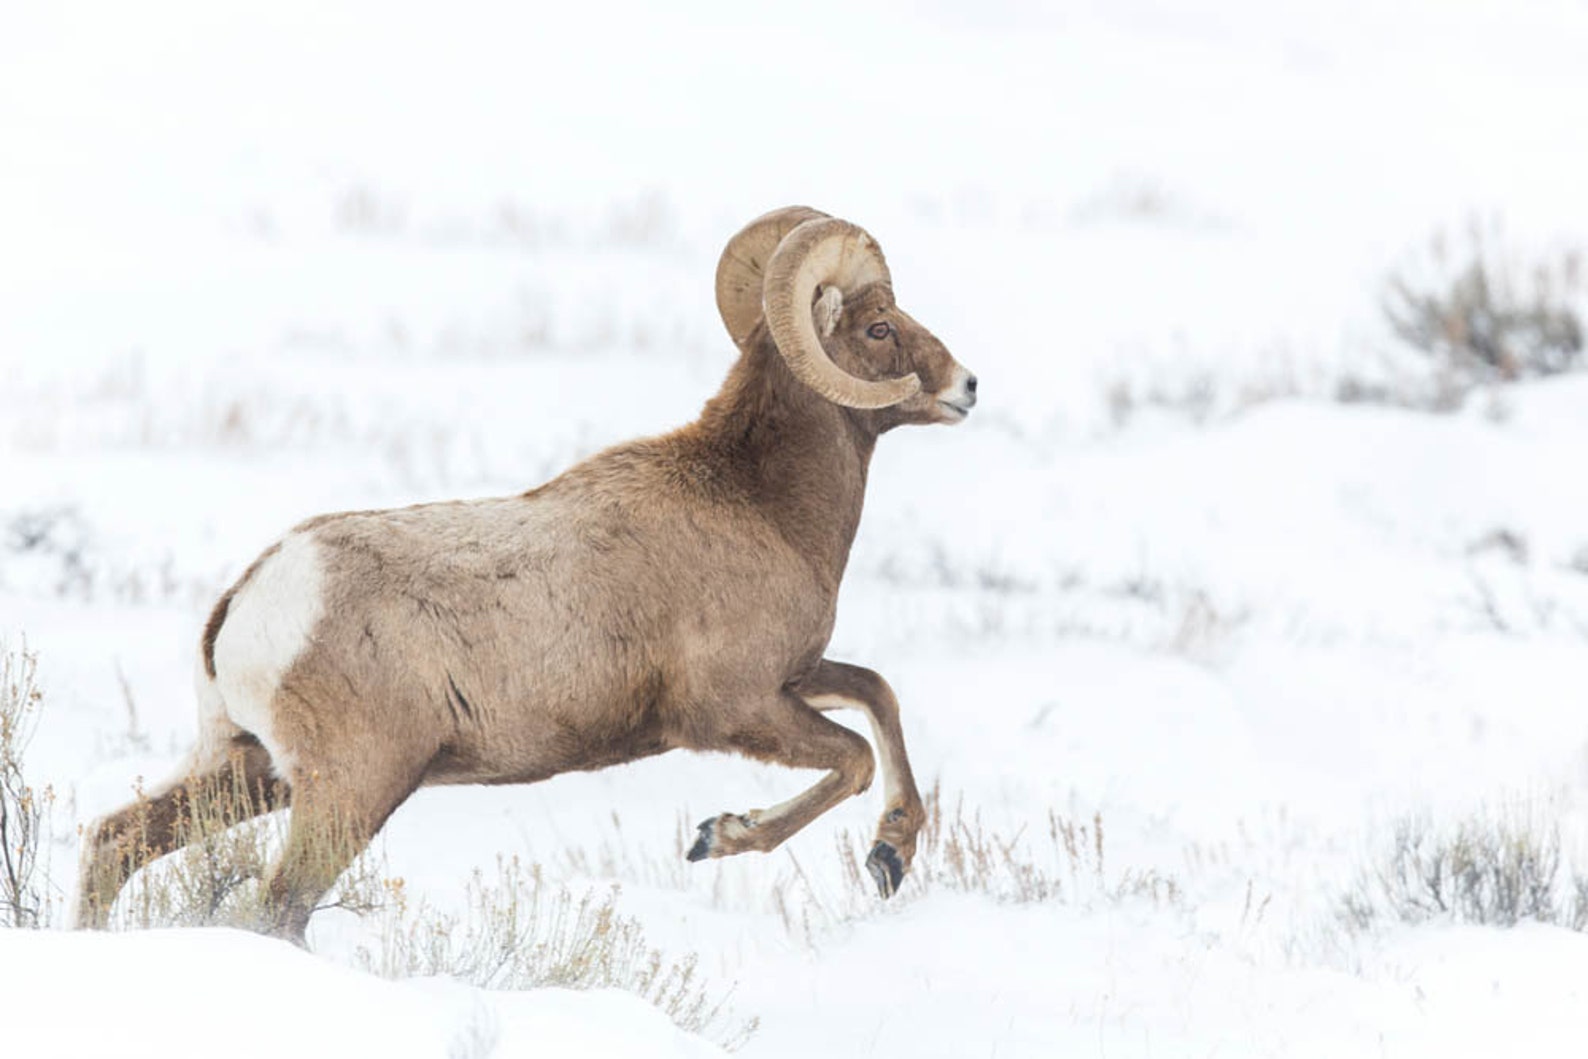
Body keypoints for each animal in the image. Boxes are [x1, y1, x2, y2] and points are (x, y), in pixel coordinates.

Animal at [75, 205, 978, 941]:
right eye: (880, 327)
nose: (967, 386)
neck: (760, 501)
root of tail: (253, 599)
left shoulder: (796, 679)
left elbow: (878, 694)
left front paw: (891, 856)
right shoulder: (734, 708)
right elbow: (854, 758)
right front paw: (718, 835)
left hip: (249, 771)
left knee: (115, 842)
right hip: (350, 791)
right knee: (276, 908)